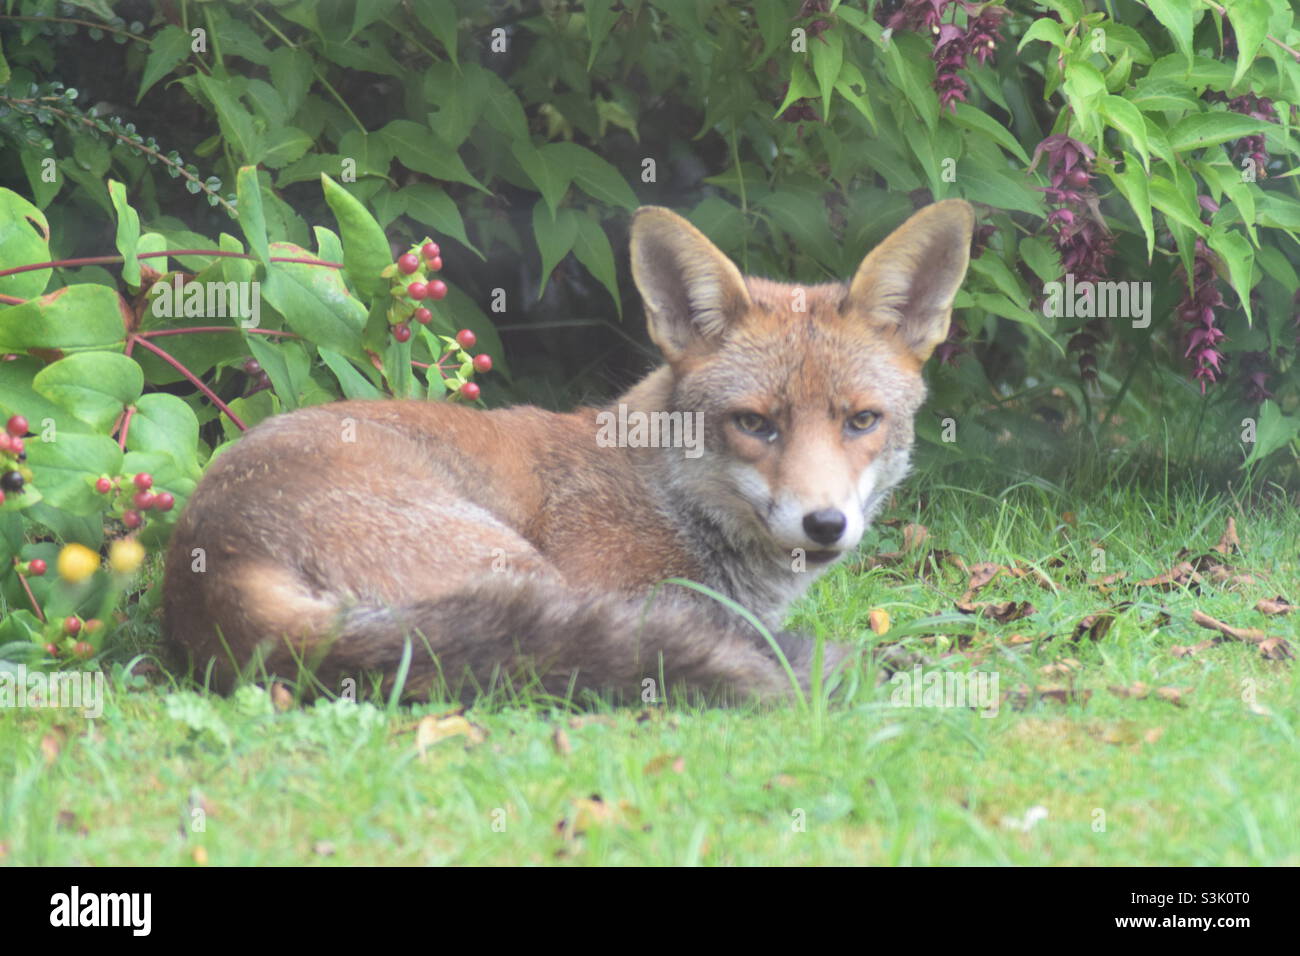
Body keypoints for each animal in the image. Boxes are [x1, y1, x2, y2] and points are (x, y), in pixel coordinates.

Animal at [162, 199, 975, 705]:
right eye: (755, 423)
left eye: (862, 421)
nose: (825, 524)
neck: (673, 497)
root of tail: (215, 563)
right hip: (522, 573)